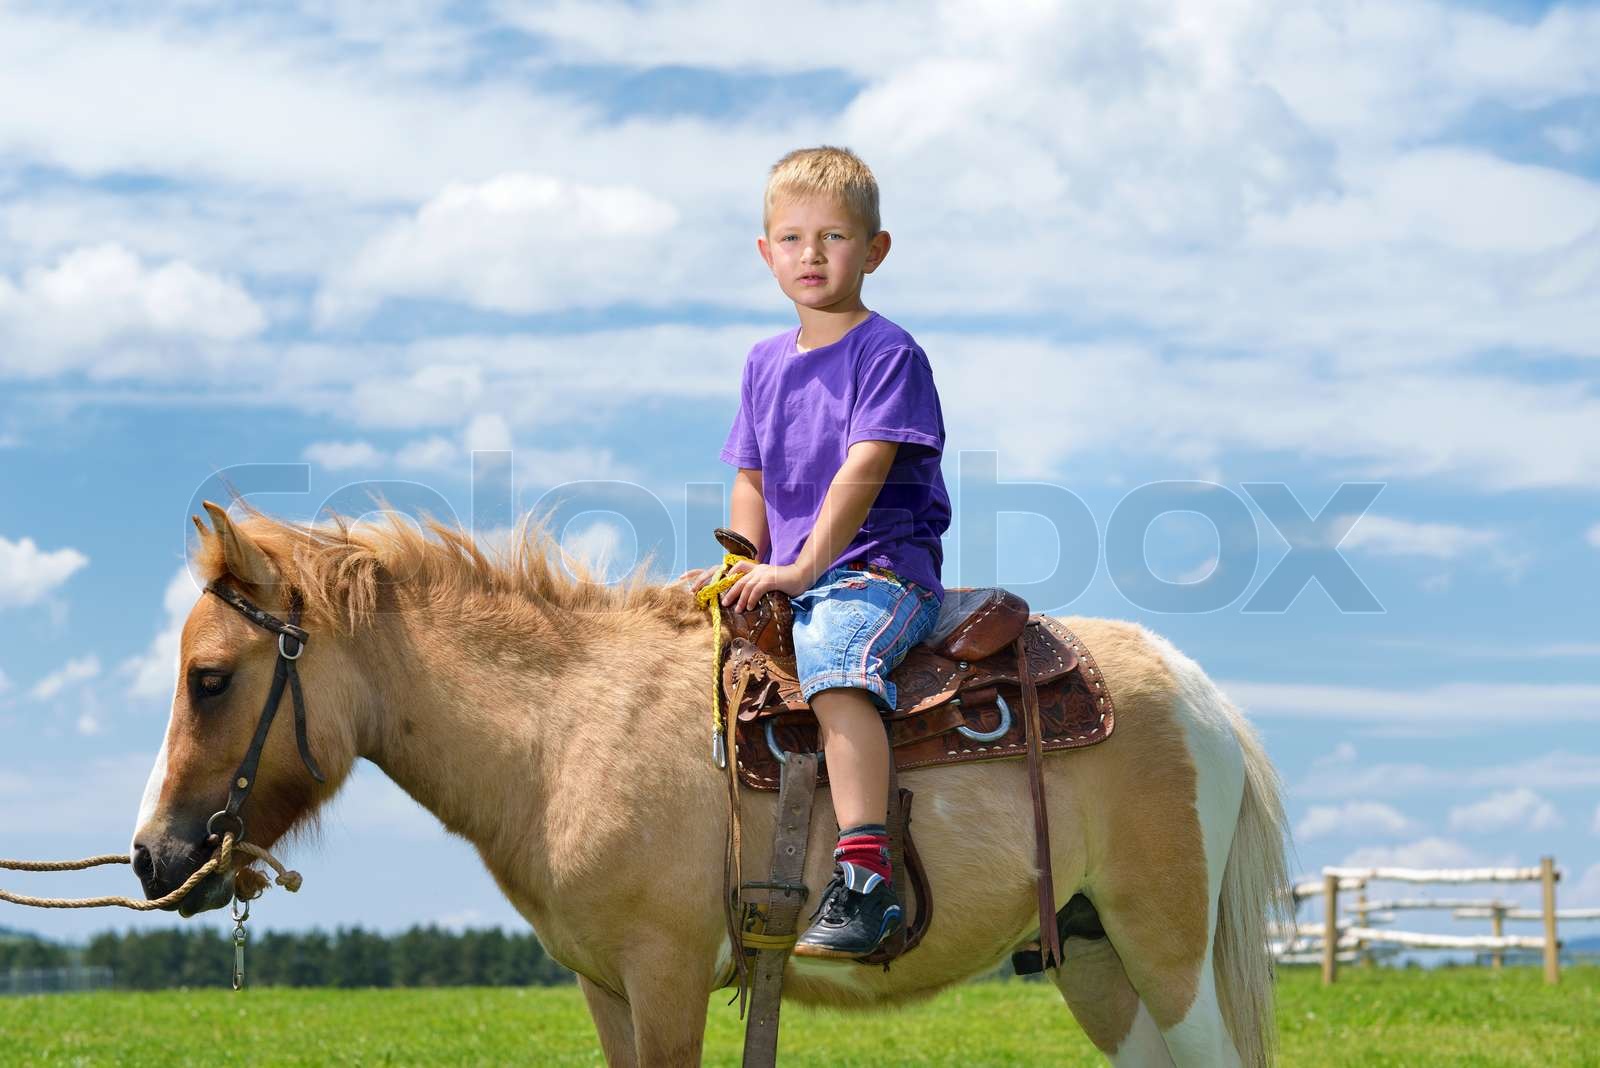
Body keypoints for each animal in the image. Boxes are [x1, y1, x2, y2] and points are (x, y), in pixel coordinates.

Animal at [129, 501, 1290, 1066]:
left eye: (210, 677)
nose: (152, 856)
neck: (565, 728)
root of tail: (1198, 693)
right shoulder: (605, 987)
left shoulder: (667, 973)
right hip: (1096, 962)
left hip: (1165, 954)